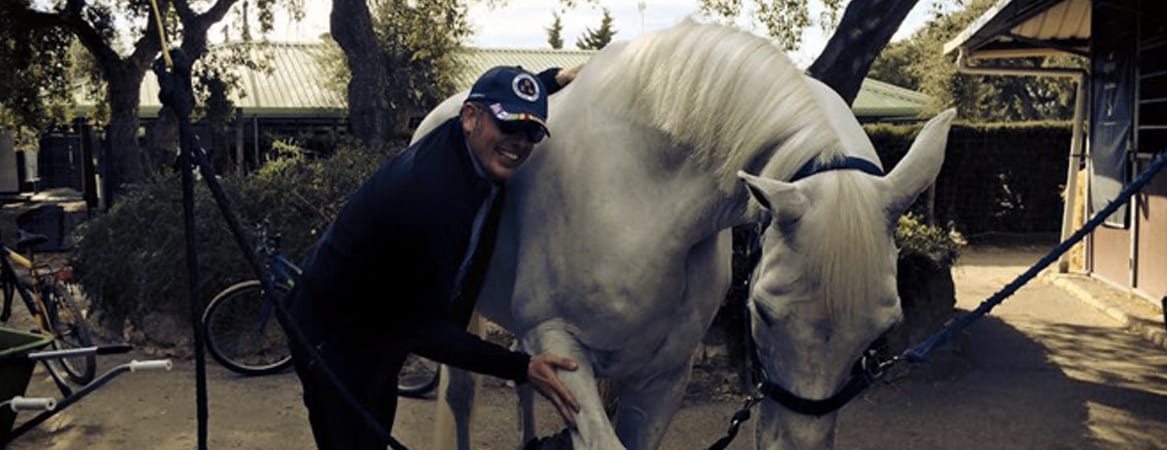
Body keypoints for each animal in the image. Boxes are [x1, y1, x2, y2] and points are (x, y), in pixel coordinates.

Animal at [412, 19, 954, 450]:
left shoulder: (663, 376)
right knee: (460, 394)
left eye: (882, 330)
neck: (642, 193)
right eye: (763, 311)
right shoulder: (559, 342)